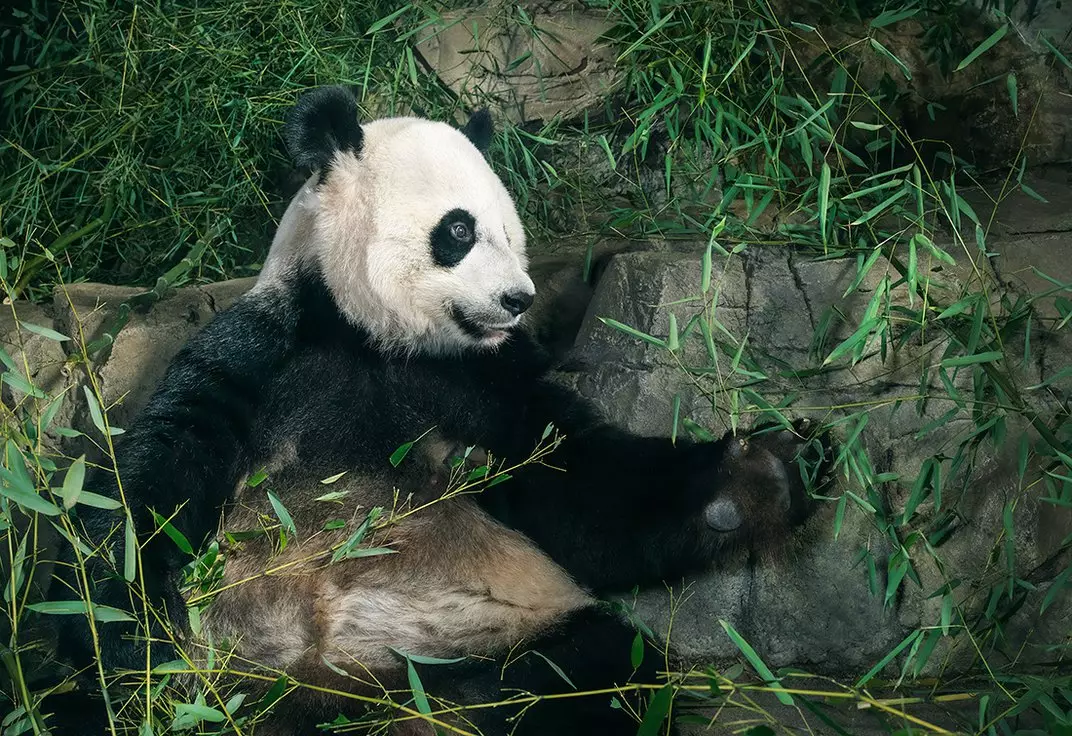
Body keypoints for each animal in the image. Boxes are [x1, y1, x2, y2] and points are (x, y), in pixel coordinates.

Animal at [56, 83, 827, 732]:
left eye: (512, 233)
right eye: (459, 230)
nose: (517, 298)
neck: (373, 337)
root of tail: (356, 697)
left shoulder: (483, 383)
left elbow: (580, 489)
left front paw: (759, 478)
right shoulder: (264, 353)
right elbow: (152, 487)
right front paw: (130, 649)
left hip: (489, 637)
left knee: (591, 675)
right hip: (257, 678)